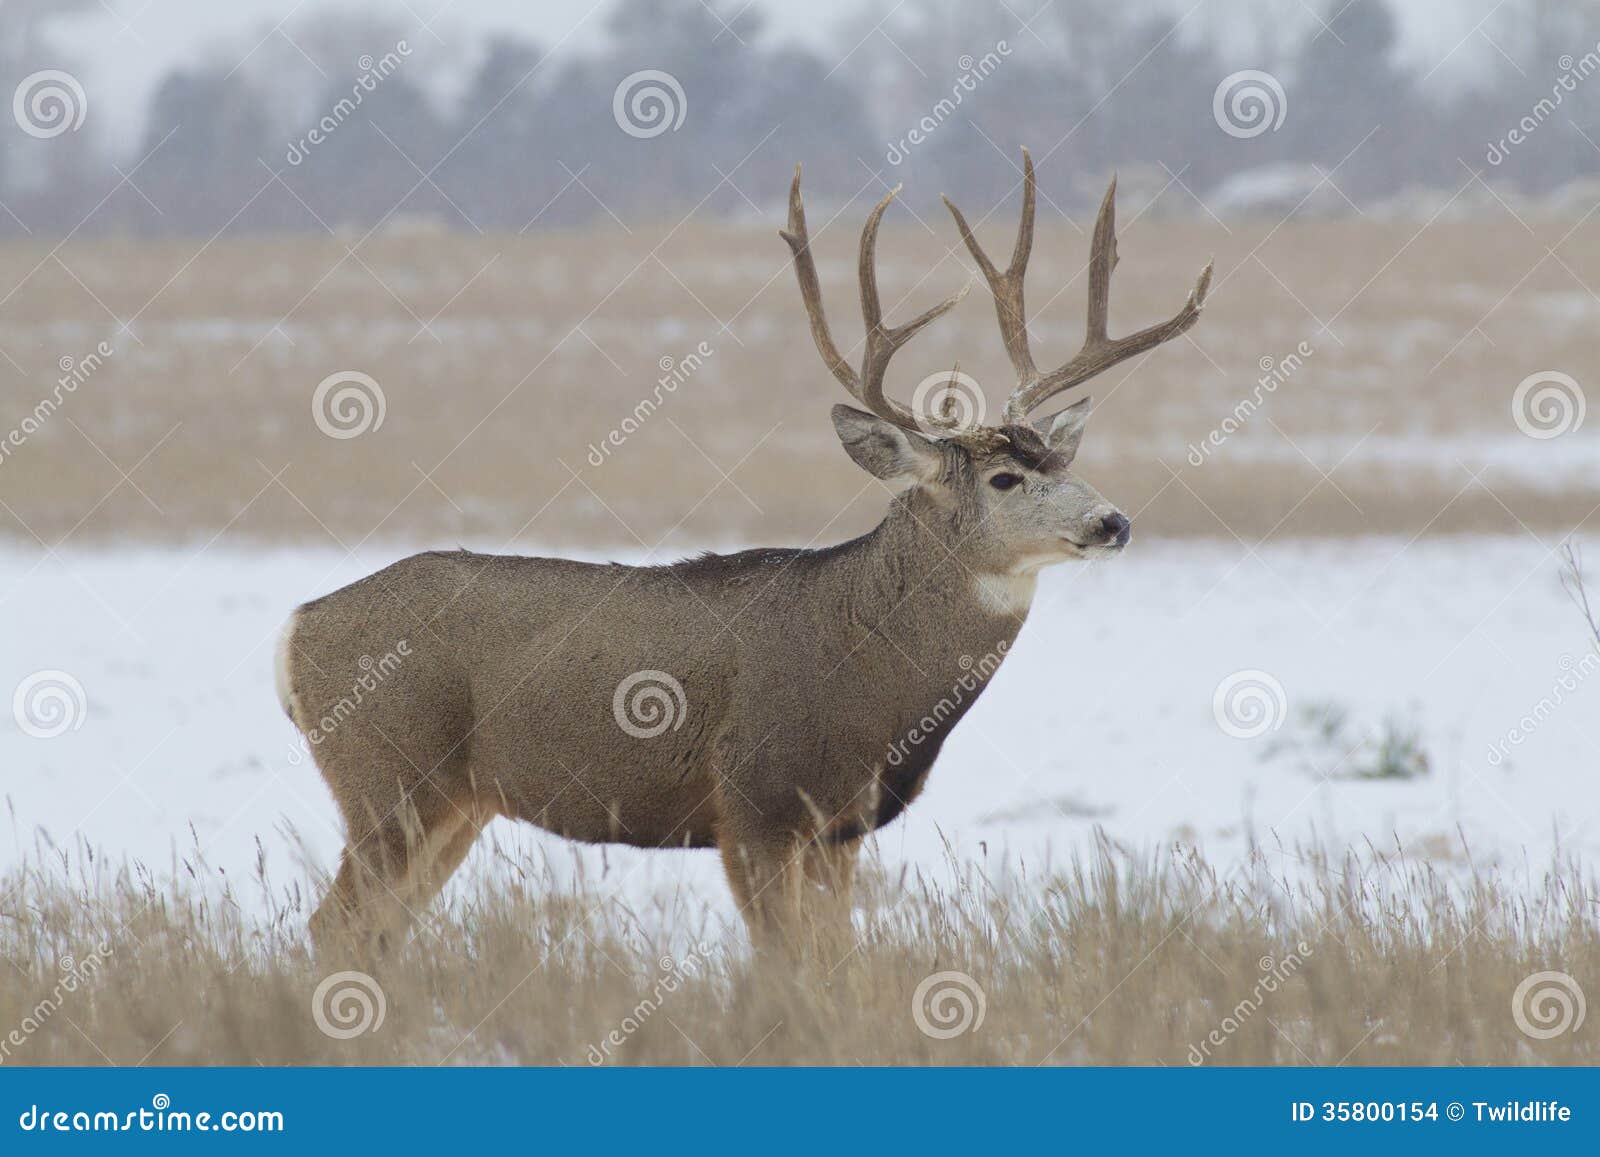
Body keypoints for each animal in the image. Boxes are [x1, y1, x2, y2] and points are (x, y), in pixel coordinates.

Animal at [275, 148, 1211, 956]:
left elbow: (836, 957)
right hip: (389, 778)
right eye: (1007, 478)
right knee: (335, 924)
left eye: (1065, 462)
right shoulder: (754, 803)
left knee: (381, 928)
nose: (1114, 522)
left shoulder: (838, 829)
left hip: (454, 805)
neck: (868, 668)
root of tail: (296, 628)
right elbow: (785, 963)